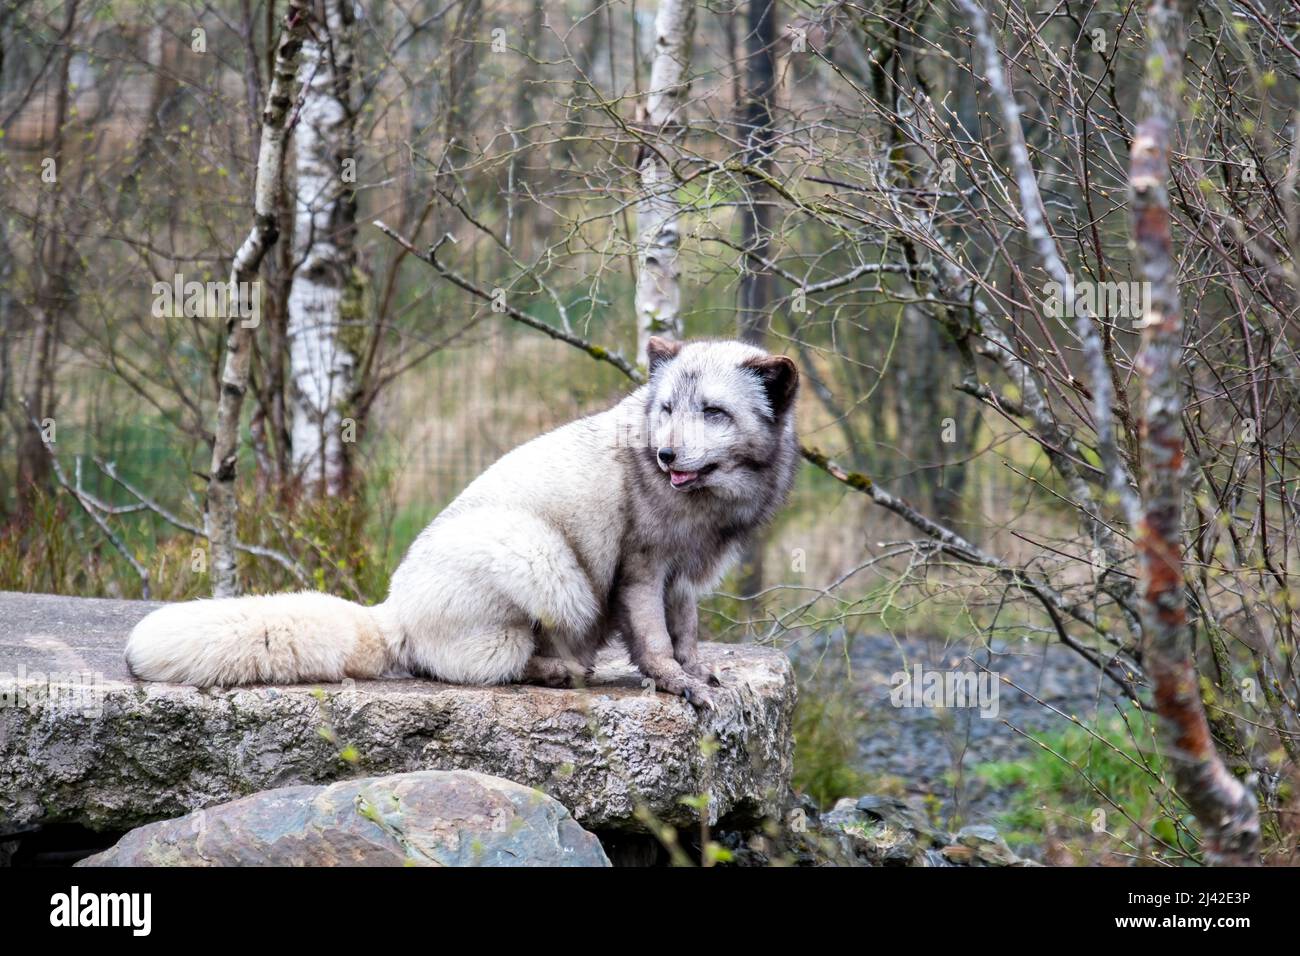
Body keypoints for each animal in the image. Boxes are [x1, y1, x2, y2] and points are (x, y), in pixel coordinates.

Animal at [125, 337, 800, 709]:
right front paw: (674, 684)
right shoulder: (640, 570)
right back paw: (558, 671)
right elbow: (655, 642)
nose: (665, 454)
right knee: (482, 665)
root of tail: (393, 612)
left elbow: (685, 634)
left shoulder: (681, 577)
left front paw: (696, 672)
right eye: (666, 409)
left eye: (712, 412)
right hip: (547, 562)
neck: (705, 502)